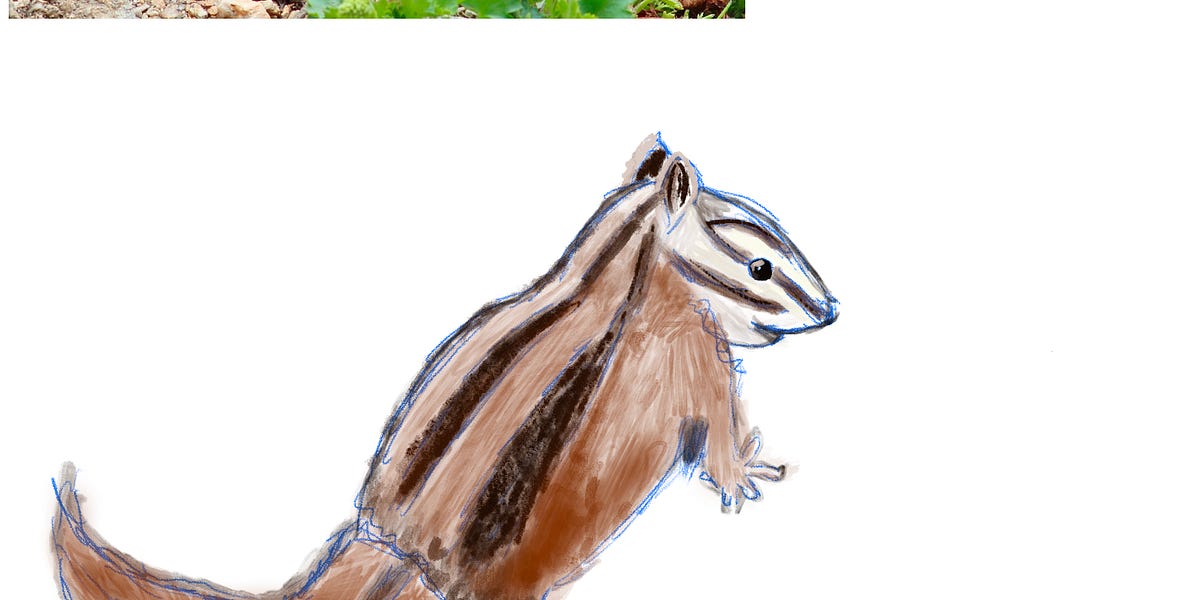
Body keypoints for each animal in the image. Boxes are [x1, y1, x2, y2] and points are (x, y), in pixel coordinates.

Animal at [50, 134, 839, 600]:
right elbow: (721, 436)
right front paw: (748, 473)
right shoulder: (703, 367)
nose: (832, 308)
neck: (634, 268)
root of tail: (393, 553)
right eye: (761, 266)